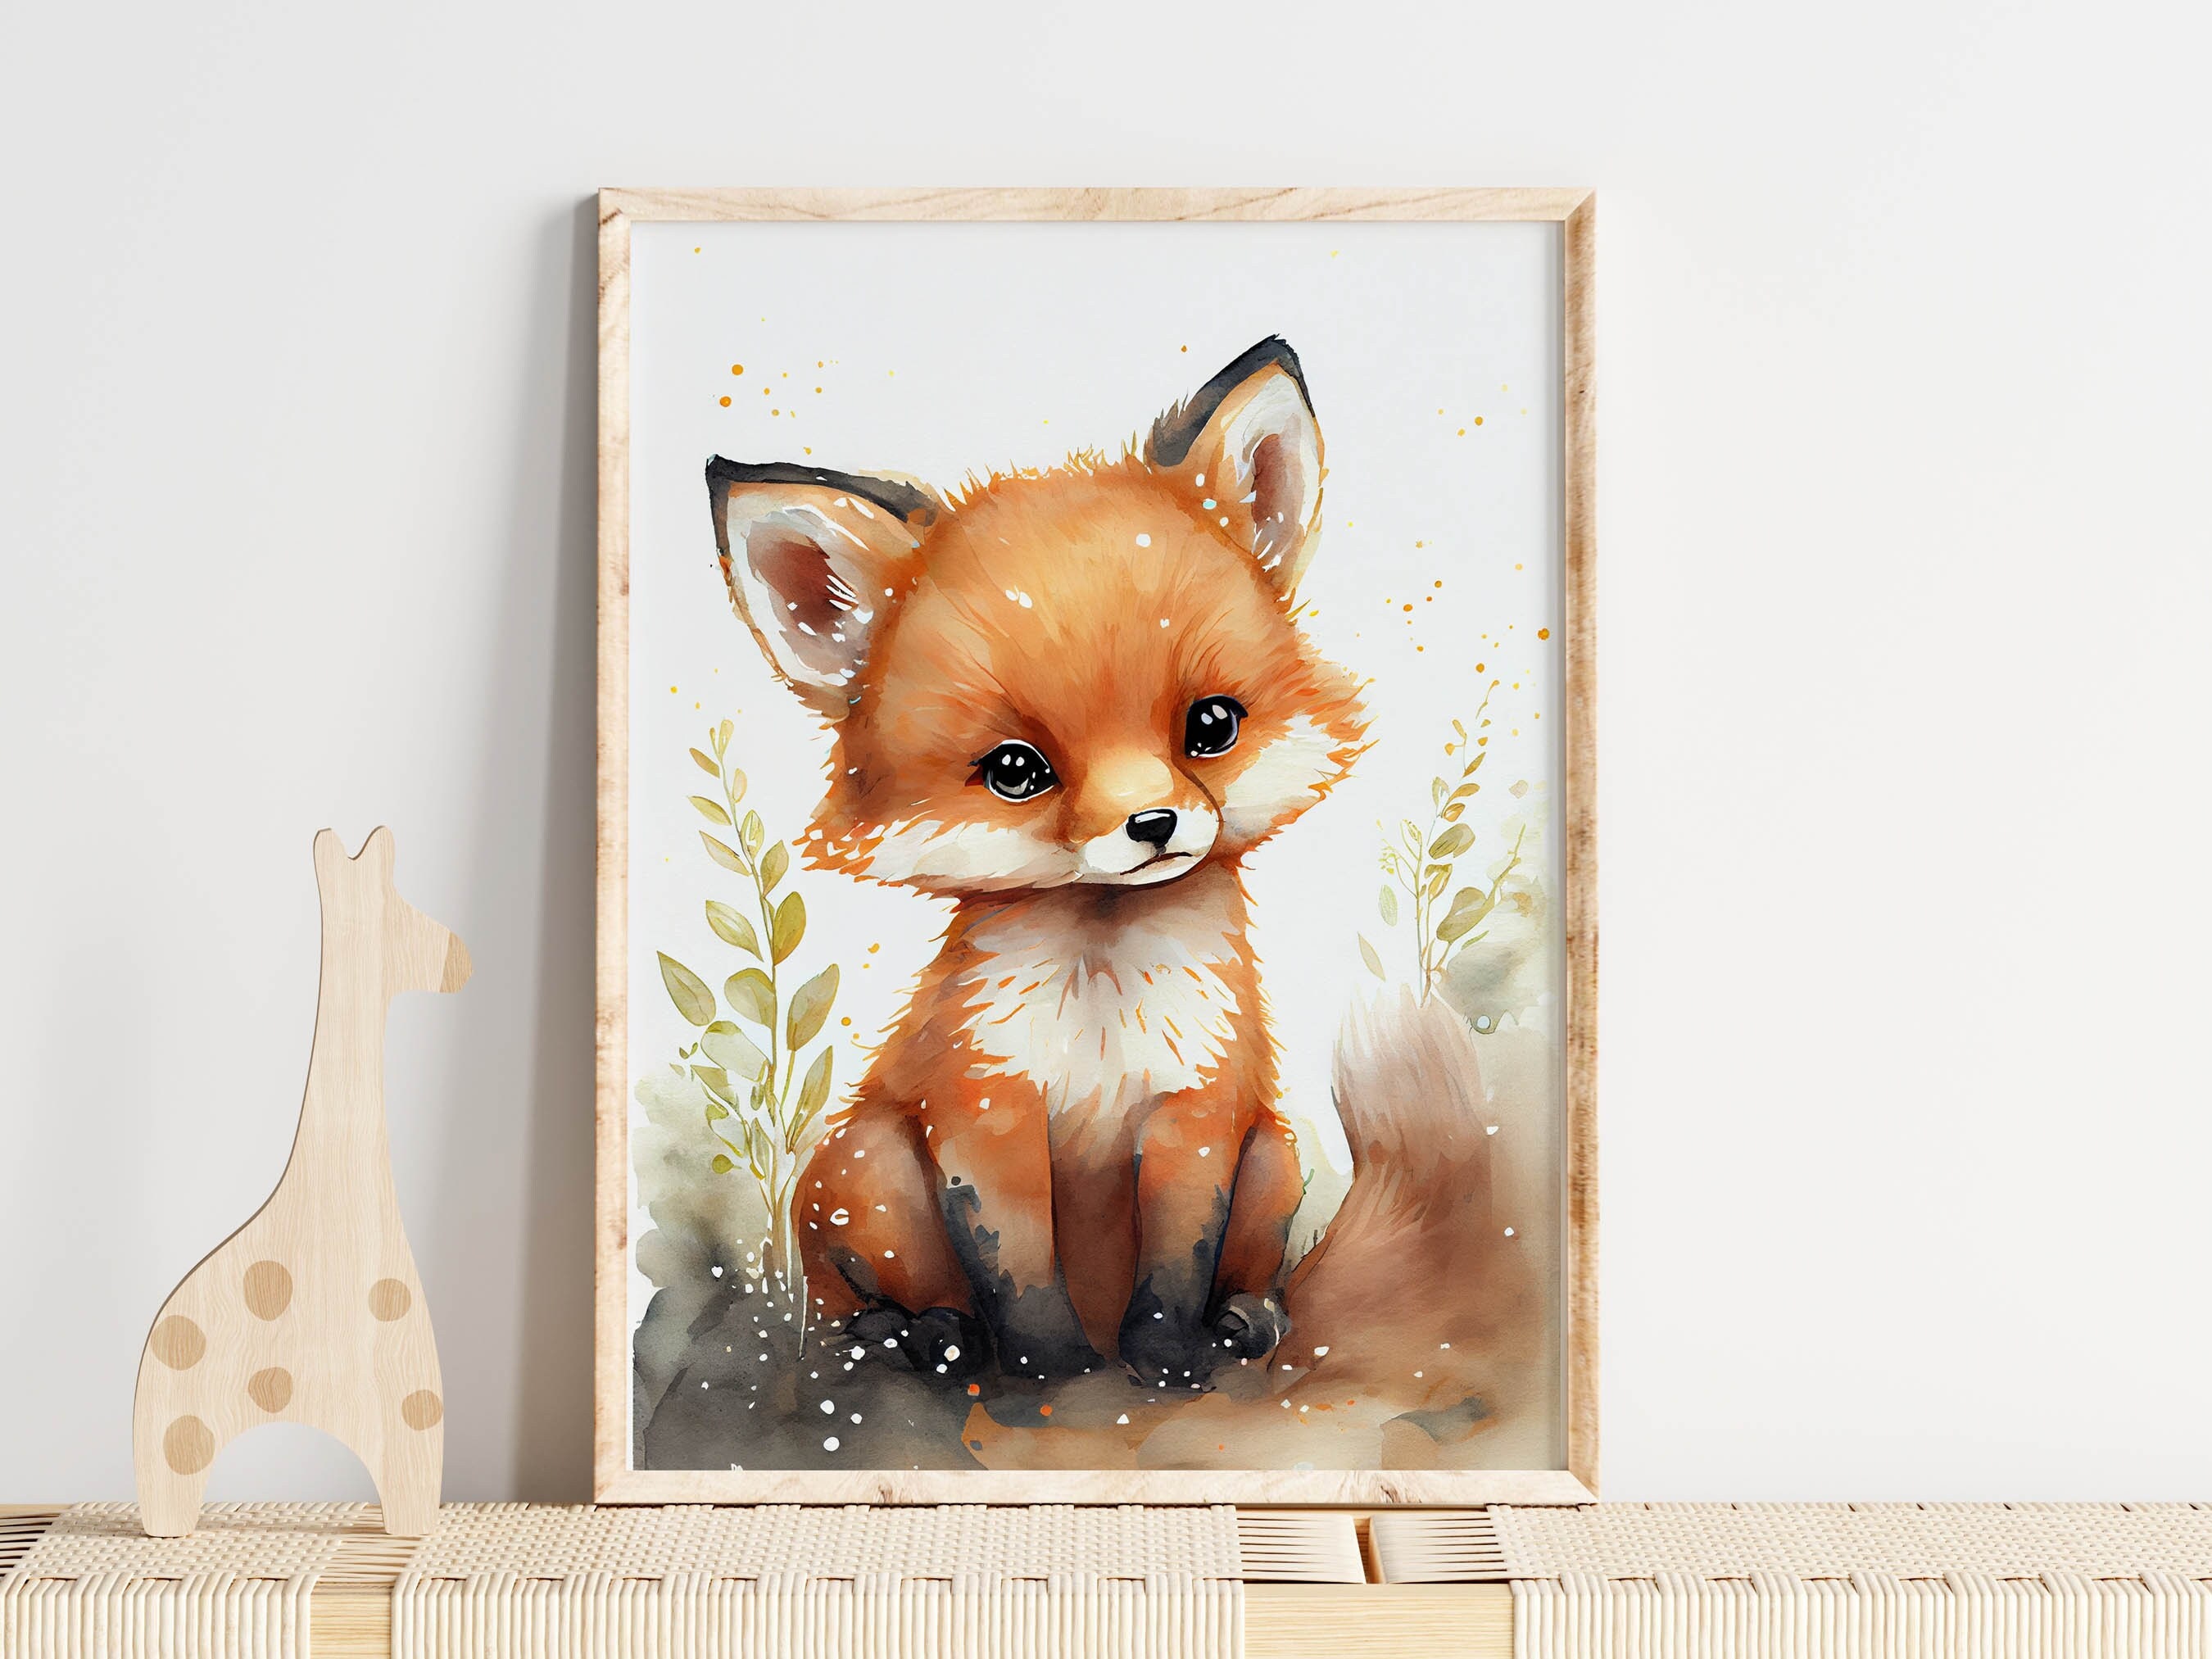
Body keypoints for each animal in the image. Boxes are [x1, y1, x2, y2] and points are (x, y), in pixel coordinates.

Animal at [705, 338, 1369, 1389]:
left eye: (1210, 725)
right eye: (1017, 771)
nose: (1153, 822)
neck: (1105, 1009)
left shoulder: (1197, 1110)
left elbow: (1178, 1261)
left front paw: (1163, 1357)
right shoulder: (986, 1109)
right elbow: (1014, 1267)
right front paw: (1049, 1367)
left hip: (1274, 1155)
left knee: (1249, 1257)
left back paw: (1248, 1316)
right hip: (870, 1162)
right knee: (861, 1298)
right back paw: (918, 1334)